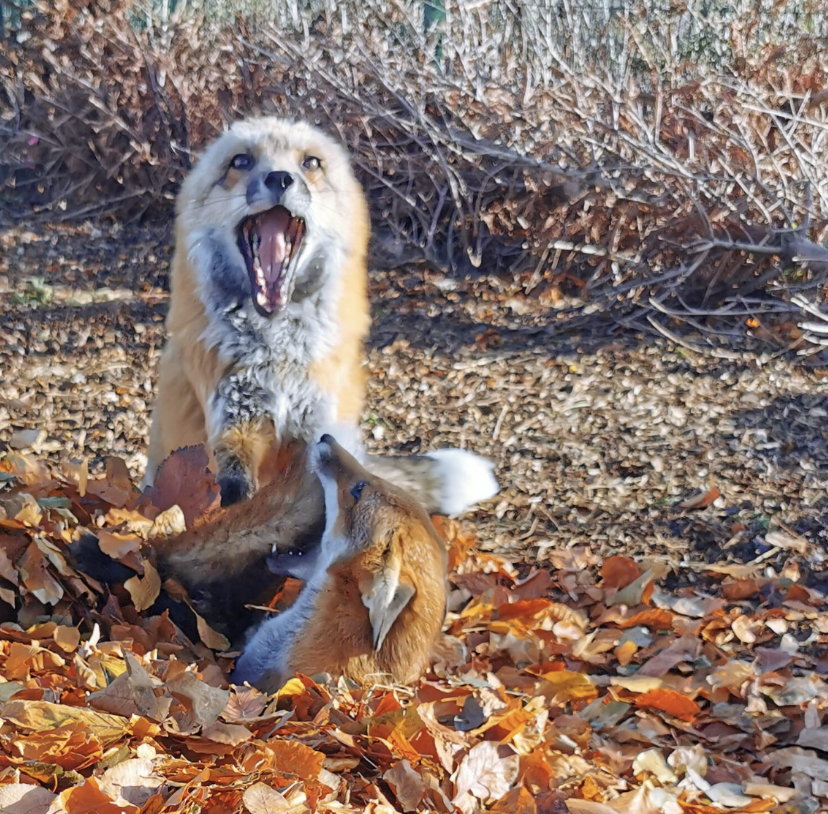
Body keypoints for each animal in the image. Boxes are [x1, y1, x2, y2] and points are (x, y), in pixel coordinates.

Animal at [143, 114, 498, 517]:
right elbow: (234, 483)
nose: (280, 178)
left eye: (310, 163)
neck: (277, 357)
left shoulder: (315, 428)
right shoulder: (232, 418)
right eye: (241, 161)